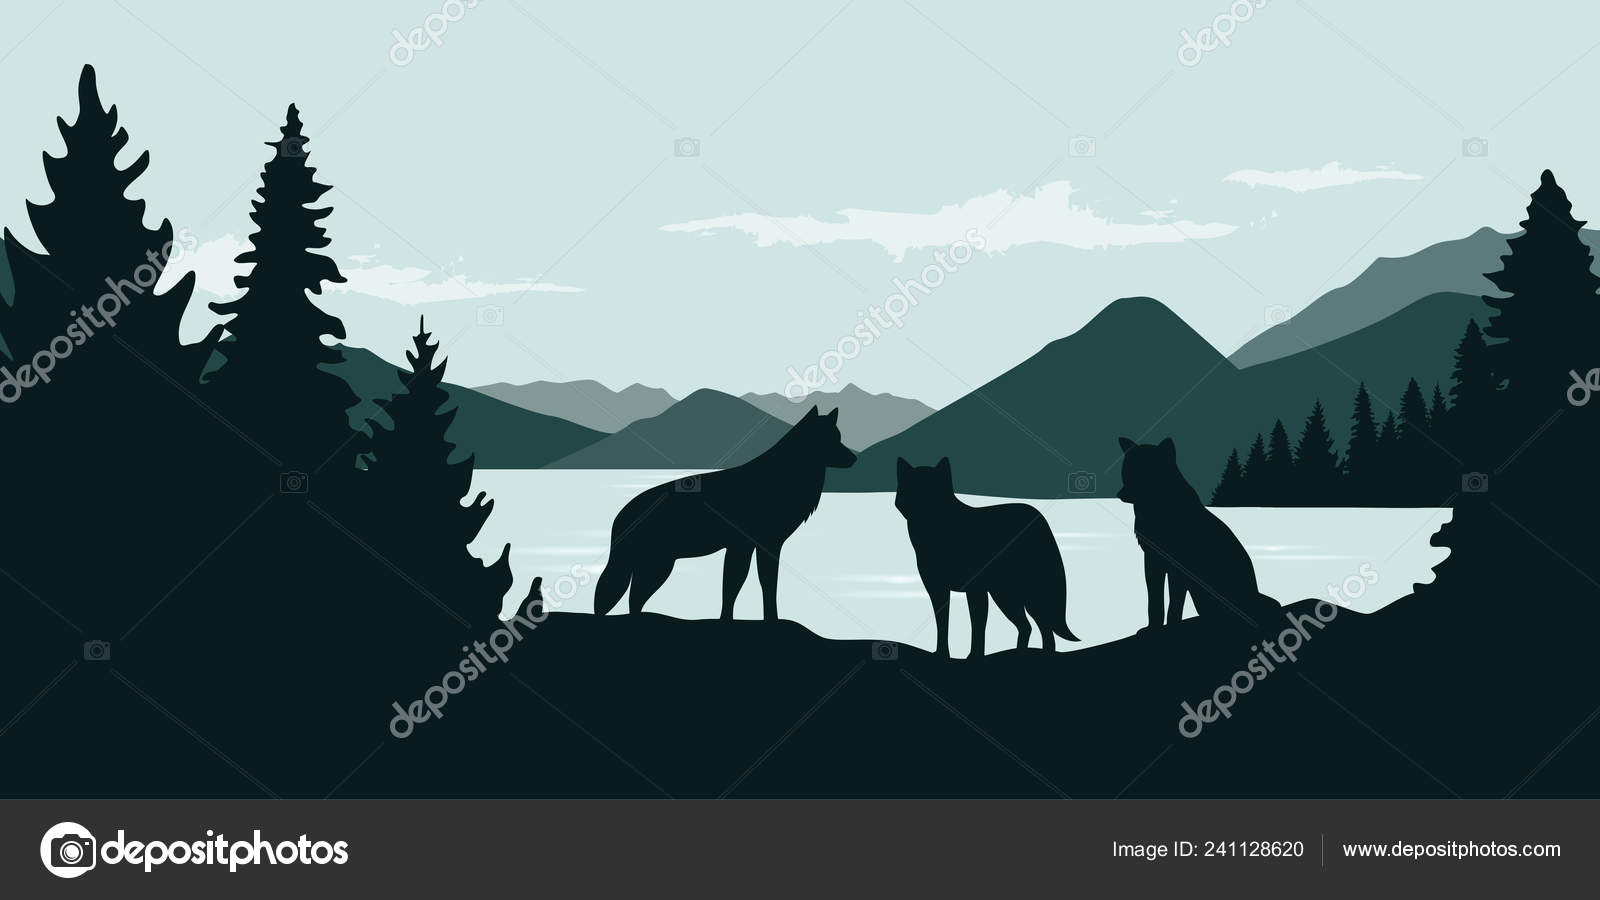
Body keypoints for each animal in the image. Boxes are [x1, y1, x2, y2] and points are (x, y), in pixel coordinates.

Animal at [593, 406, 856, 620]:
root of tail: (622, 513)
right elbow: (741, 584)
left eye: (839, 437)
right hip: (656, 565)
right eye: (829, 439)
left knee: (634, 597)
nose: (854, 458)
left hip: (656, 565)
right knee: (626, 596)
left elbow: (749, 585)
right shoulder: (753, 545)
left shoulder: (754, 546)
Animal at [895, 457, 1081, 658]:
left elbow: (977, 626)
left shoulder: (976, 590)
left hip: (1027, 594)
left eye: (932, 490)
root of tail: (1039, 517)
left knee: (1044, 628)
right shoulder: (938, 590)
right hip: (1006, 596)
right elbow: (942, 624)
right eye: (913, 489)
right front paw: (942, 654)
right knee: (1026, 626)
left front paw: (974, 656)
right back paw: (1019, 652)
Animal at [1116, 436, 1284, 632]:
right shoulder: (1152, 560)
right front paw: (1152, 628)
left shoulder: (1178, 567)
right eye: (1126, 472)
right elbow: (1155, 601)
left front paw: (1171, 626)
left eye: (1142, 473)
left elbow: (1175, 604)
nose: (1119, 494)